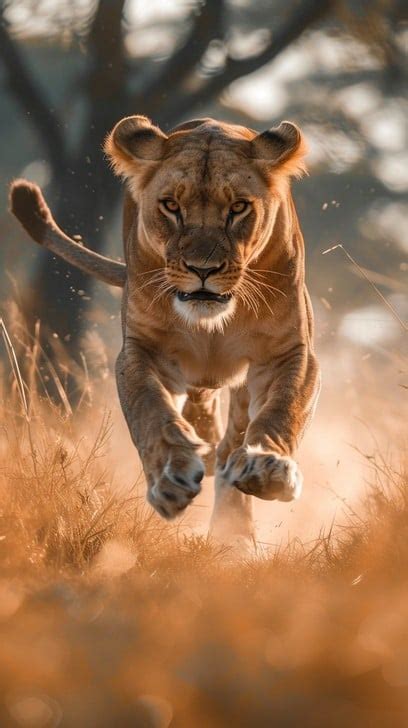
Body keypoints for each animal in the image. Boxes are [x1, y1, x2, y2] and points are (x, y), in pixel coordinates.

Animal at [10, 116, 320, 547]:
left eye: (238, 207)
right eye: (171, 206)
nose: (203, 269)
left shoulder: (290, 352)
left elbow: (282, 411)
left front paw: (268, 467)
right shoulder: (140, 352)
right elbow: (150, 413)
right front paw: (172, 478)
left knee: (232, 438)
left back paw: (232, 529)